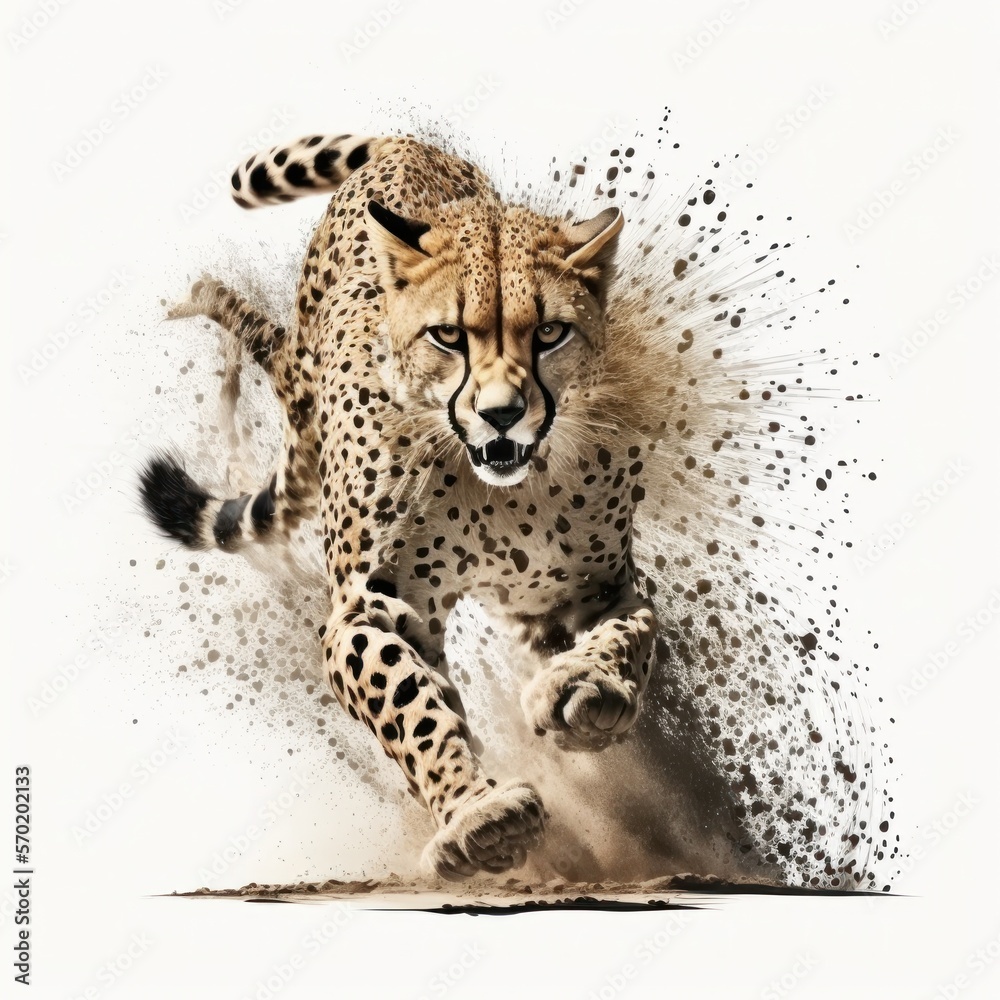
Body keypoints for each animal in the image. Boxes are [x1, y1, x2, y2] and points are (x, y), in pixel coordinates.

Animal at [141, 131, 665, 881]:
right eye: (449, 336)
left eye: (550, 334)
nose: (502, 415)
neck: (494, 491)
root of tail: (407, 145)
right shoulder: (372, 607)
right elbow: (410, 705)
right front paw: (480, 815)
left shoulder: (586, 588)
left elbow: (632, 633)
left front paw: (586, 690)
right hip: (302, 365)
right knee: (275, 353)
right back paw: (212, 302)